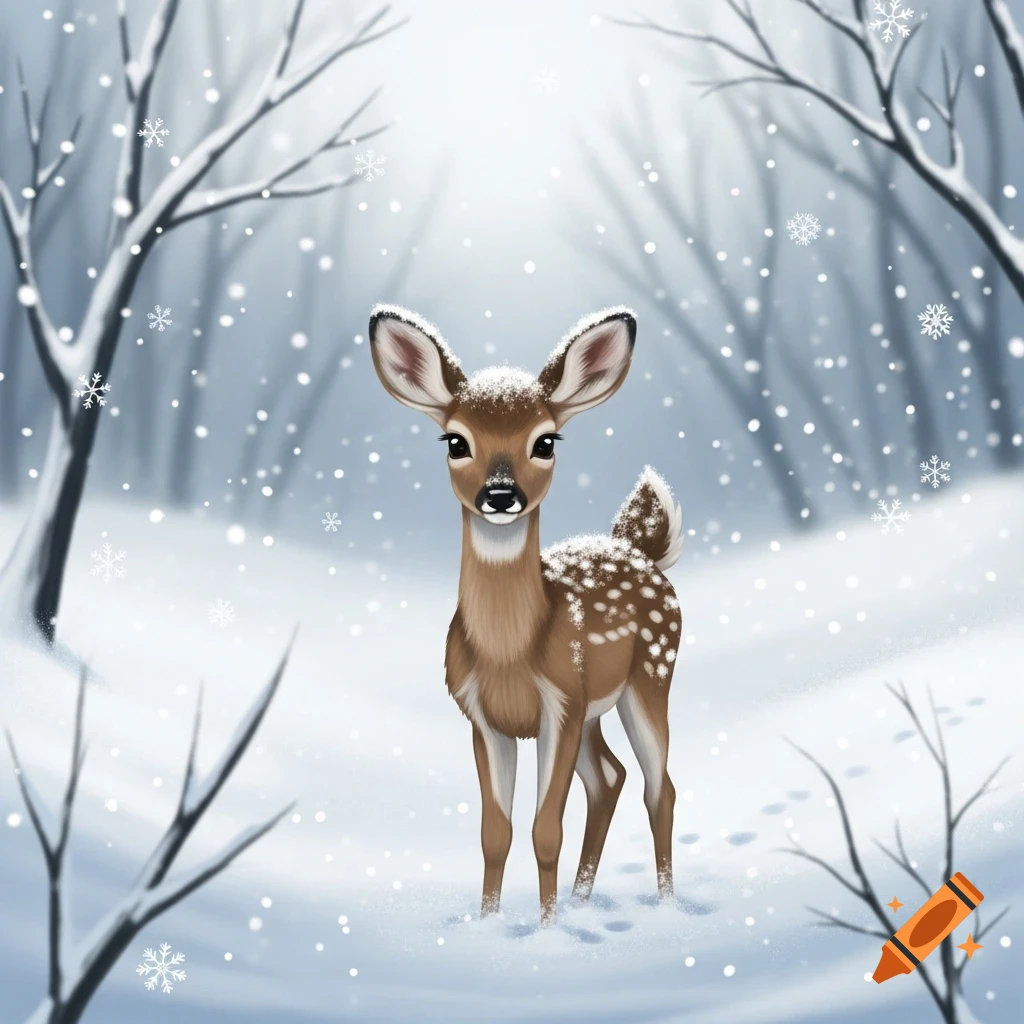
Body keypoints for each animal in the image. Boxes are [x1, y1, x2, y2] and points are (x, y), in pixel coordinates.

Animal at [369, 304, 684, 924]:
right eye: (455, 440)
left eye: (545, 441)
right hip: (593, 709)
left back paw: (664, 905)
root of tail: (638, 547)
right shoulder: (484, 717)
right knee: (610, 778)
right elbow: (496, 833)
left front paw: (546, 930)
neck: (510, 653)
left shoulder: (558, 706)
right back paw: (583, 900)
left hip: (649, 678)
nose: (499, 494)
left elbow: (544, 831)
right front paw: (490, 922)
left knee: (659, 786)